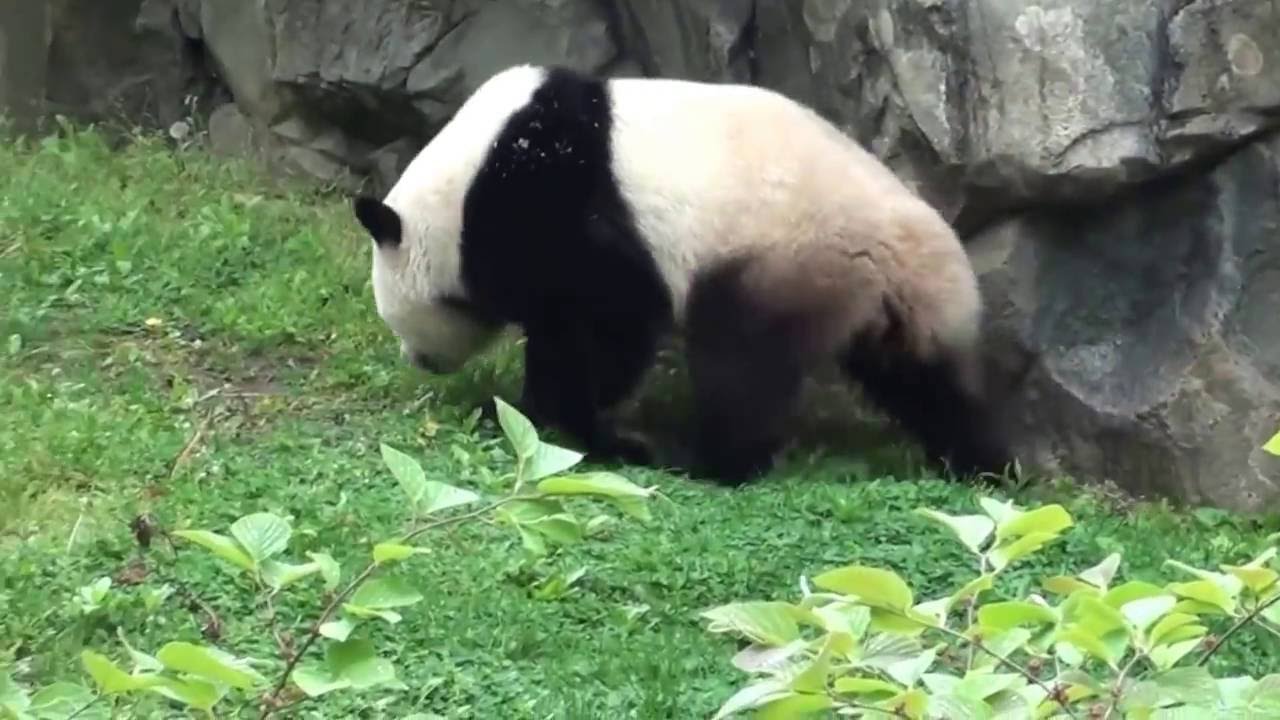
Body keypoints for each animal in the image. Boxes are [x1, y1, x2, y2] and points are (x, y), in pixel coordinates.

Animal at [352, 63, 1013, 485]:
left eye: (395, 317)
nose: (418, 360)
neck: (463, 188)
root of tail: (908, 252)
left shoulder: (550, 205)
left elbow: (603, 322)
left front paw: (552, 416)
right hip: (891, 302)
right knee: (926, 380)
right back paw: (984, 465)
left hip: (788, 258)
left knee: (741, 361)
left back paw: (705, 460)